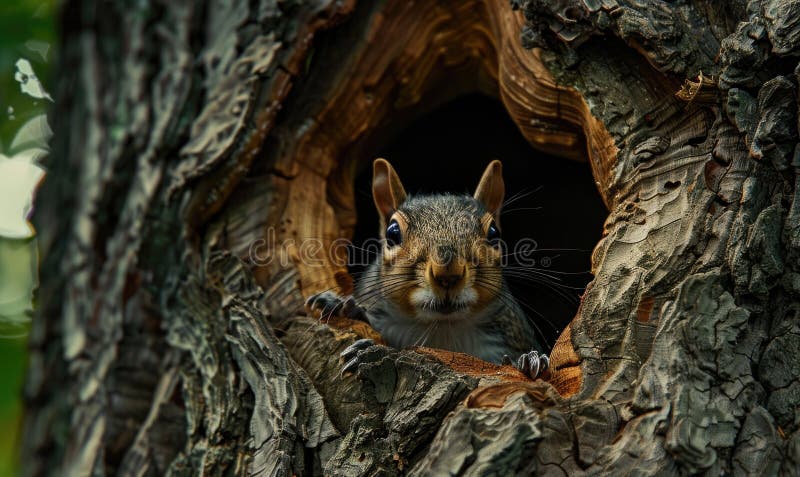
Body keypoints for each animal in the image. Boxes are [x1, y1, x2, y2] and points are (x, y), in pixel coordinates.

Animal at [306, 158, 549, 379]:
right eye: (392, 233)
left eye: (493, 233)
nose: (448, 274)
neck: (442, 328)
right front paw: (339, 305)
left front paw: (529, 361)